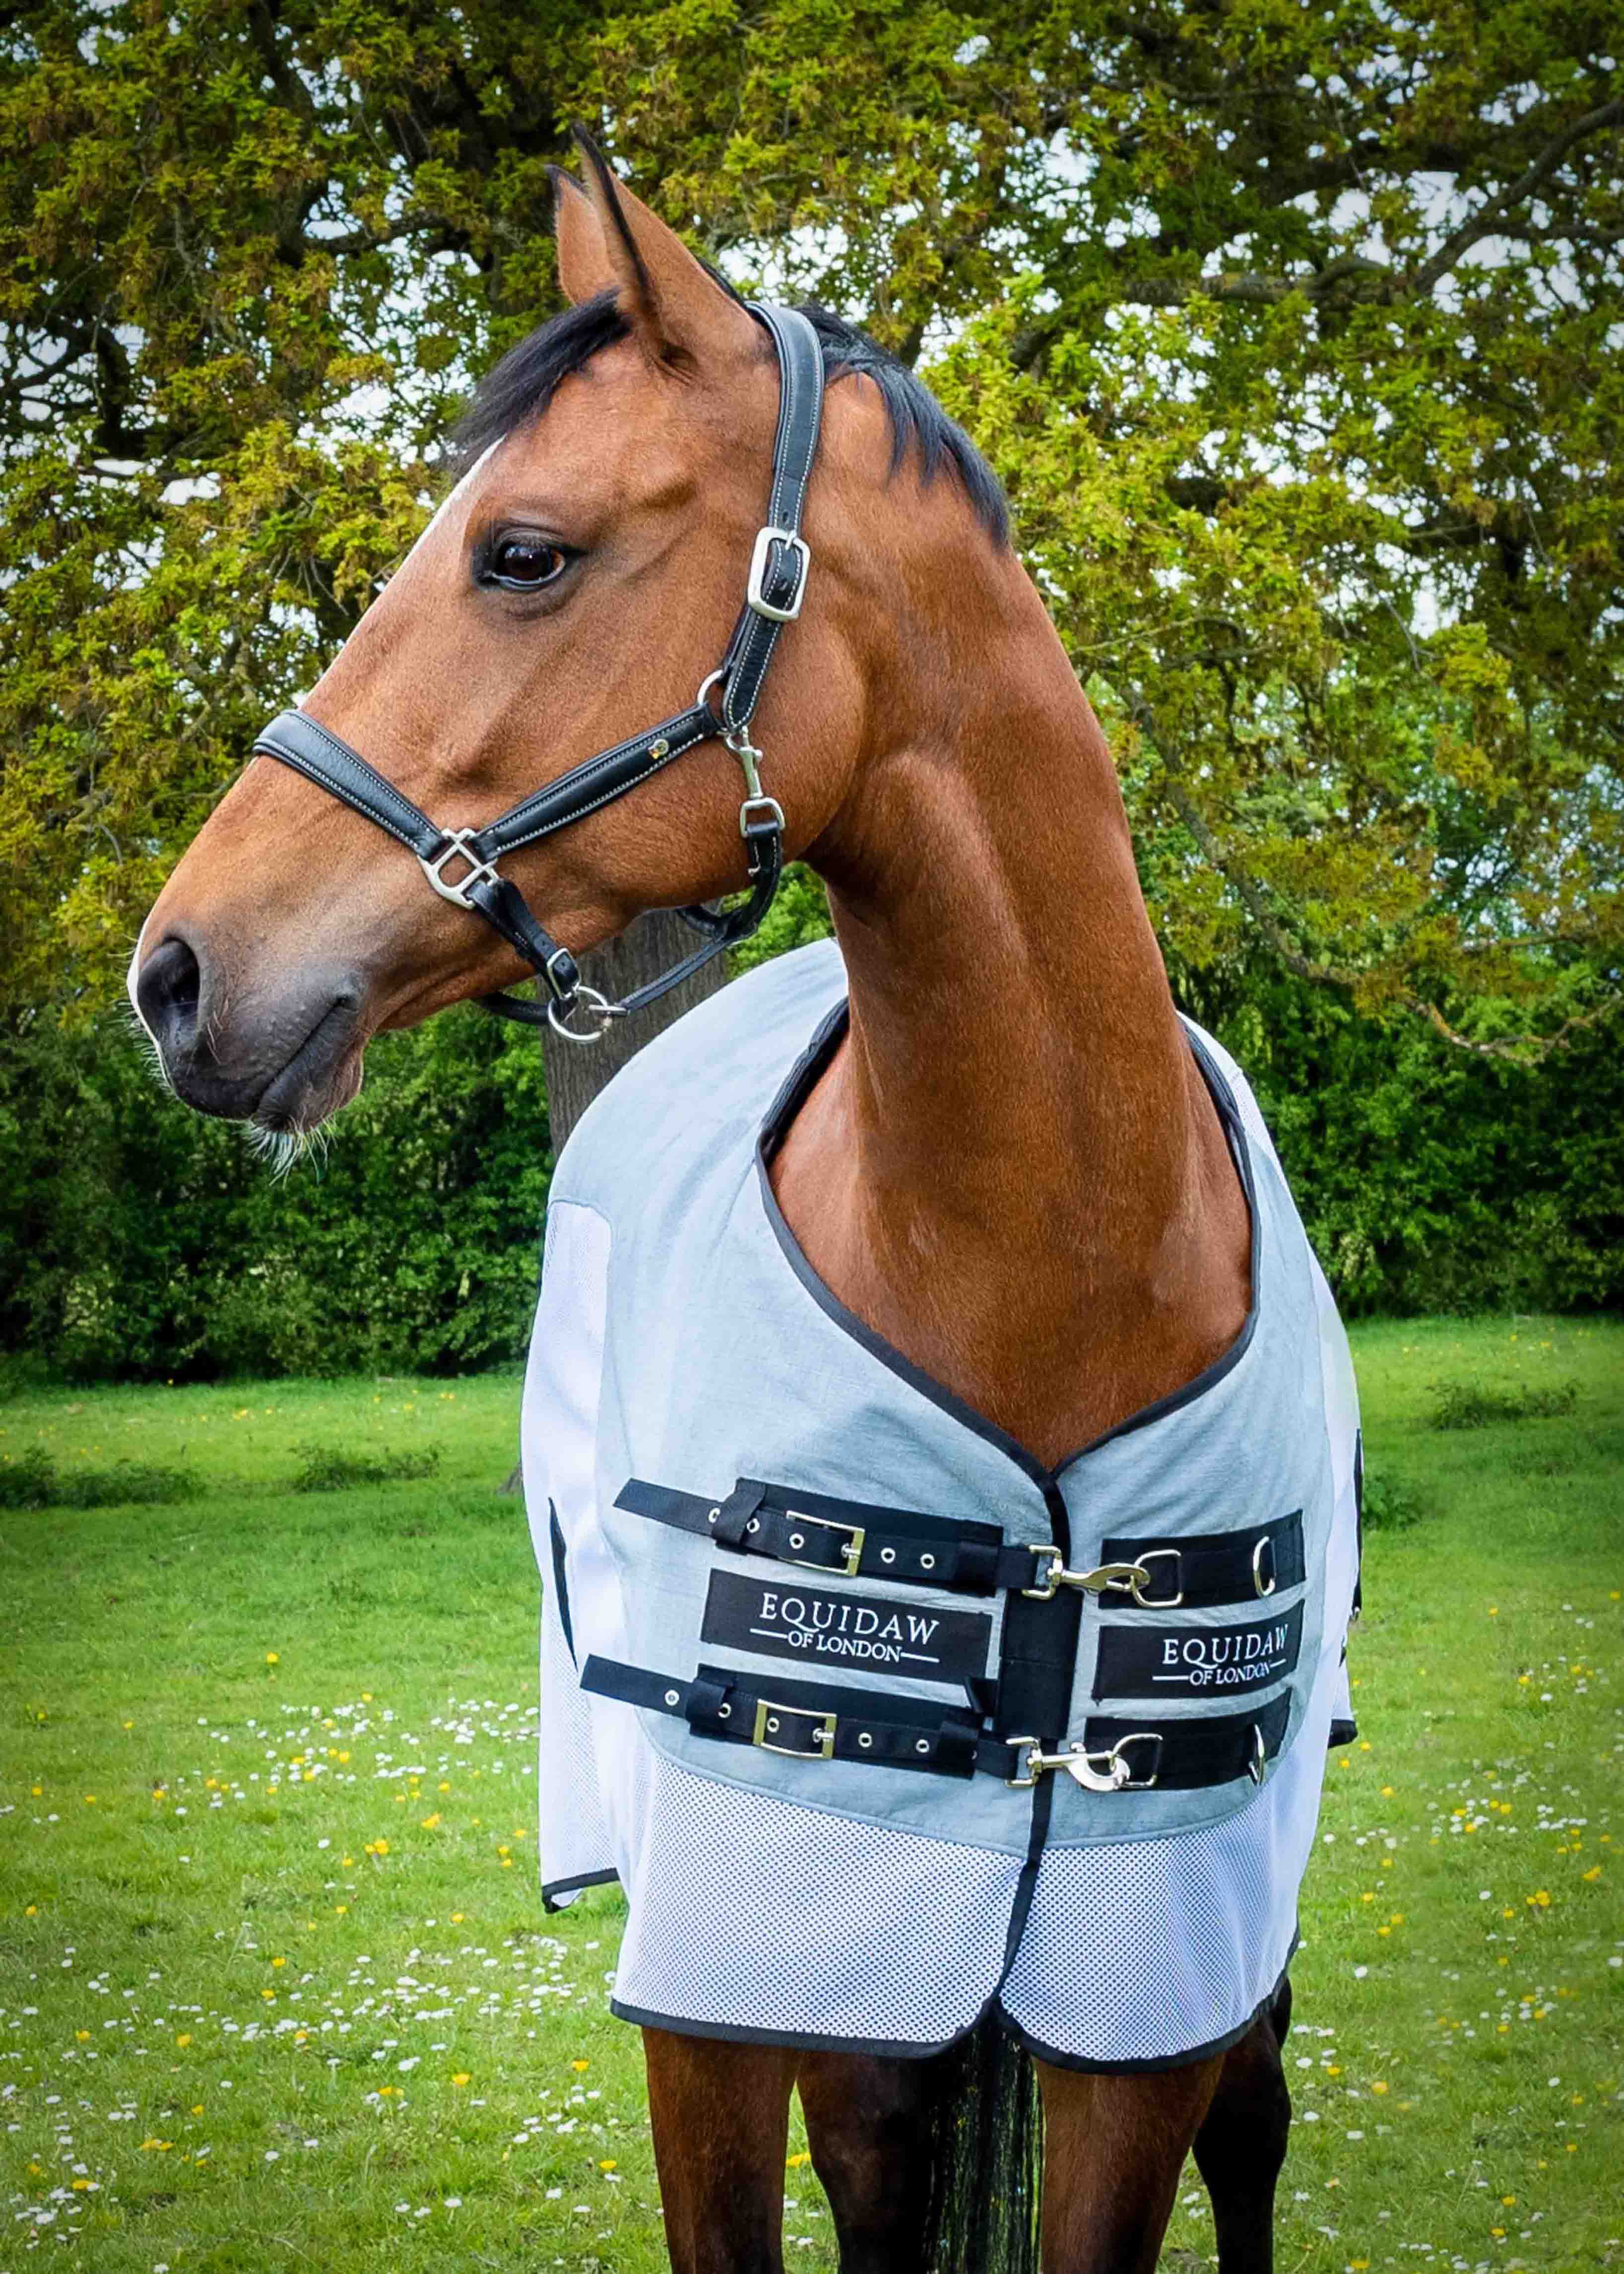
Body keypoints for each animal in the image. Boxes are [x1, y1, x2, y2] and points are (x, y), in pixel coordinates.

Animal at [130, 136, 1346, 2274]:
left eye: (521, 552)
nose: (180, 972)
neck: (1053, 1273)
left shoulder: (1145, 2008)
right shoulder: (721, 1996)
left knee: (1254, 2136)